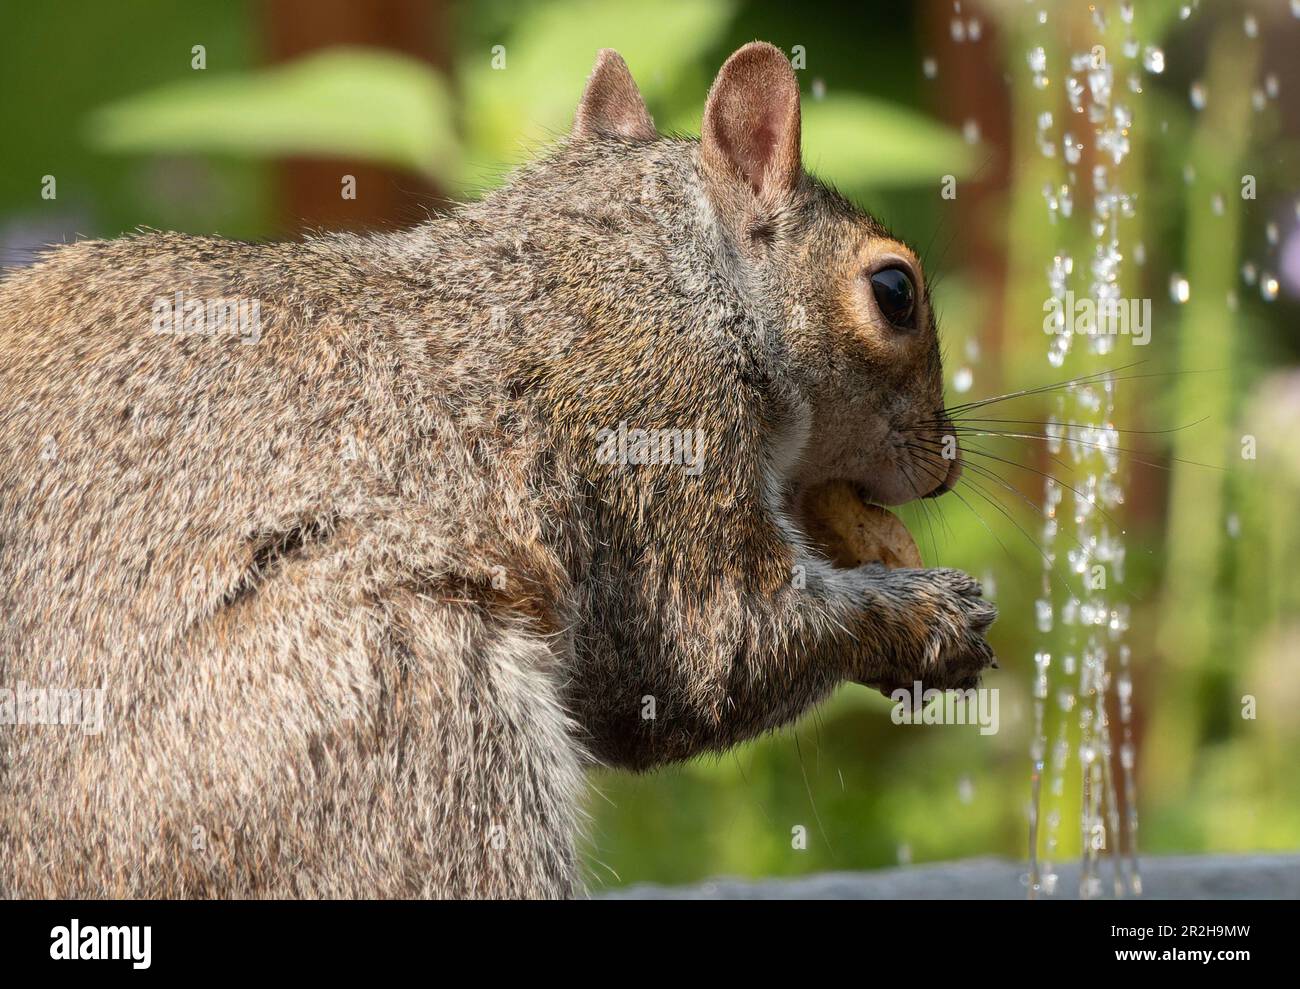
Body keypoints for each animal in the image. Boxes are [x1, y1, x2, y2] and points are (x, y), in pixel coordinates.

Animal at [0, 42, 995, 898]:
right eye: (894, 291)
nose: (947, 465)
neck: (647, 265)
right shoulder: (654, 420)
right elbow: (715, 648)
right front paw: (931, 619)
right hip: (401, 705)